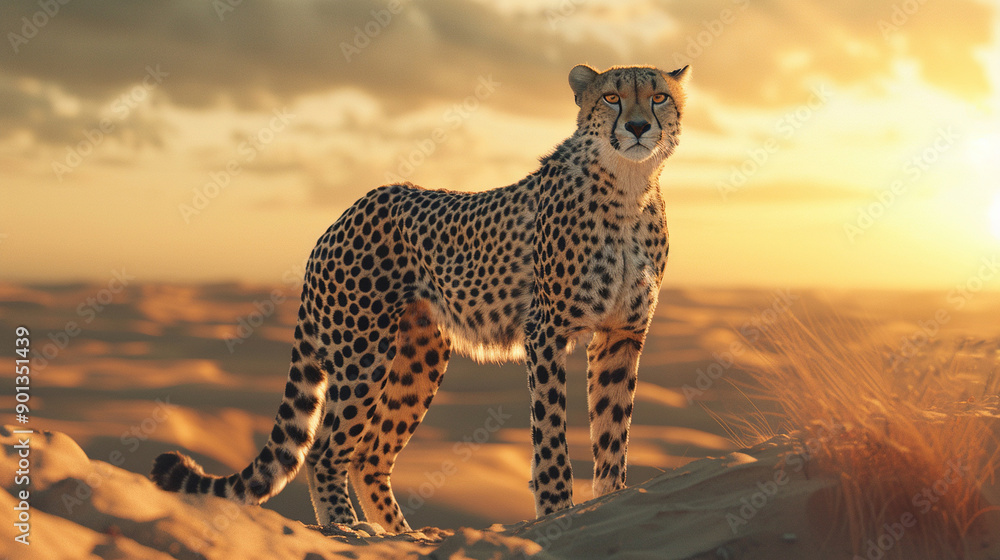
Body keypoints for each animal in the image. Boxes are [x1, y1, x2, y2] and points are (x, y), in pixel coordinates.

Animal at [151, 63, 690, 533]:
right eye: (612, 97)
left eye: (659, 96)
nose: (638, 126)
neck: (629, 187)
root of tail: (343, 215)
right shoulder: (547, 333)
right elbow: (552, 435)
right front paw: (557, 513)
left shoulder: (622, 334)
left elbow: (612, 432)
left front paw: (612, 504)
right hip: (363, 354)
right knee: (327, 451)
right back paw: (347, 528)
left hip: (419, 358)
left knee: (369, 457)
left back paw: (403, 534)